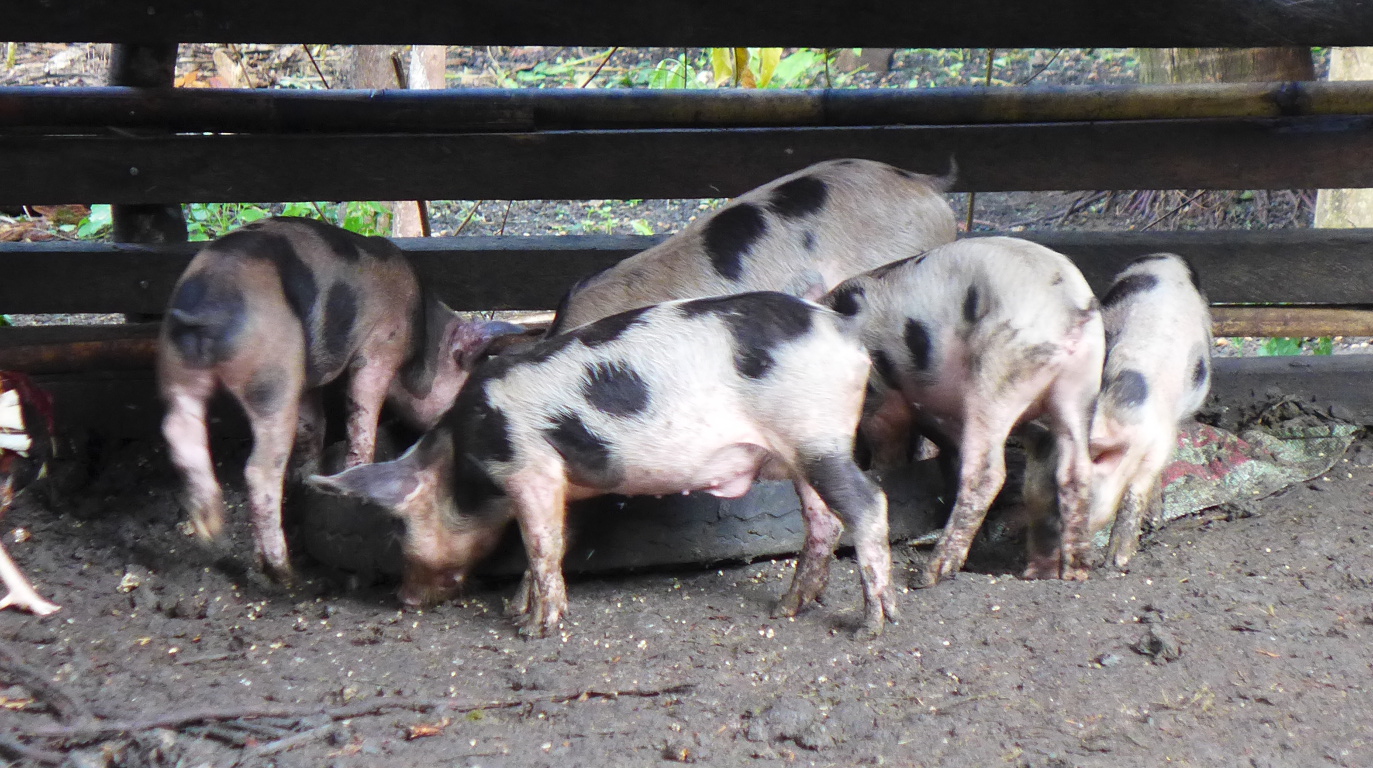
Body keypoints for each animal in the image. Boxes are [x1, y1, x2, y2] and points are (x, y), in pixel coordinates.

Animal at [158, 217, 516, 581]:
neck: (423, 337)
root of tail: (208, 305)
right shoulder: (379, 348)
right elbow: (361, 412)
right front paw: (354, 469)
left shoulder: (310, 381)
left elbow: (314, 425)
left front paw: (307, 478)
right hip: (271, 374)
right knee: (259, 469)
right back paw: (282, 574)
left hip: (176, 361)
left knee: (181, 431)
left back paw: (212, 536)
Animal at [309, 292, 900, 638]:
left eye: (400, 527)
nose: (404, 600)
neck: (464, 451)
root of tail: (845, 334)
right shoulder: (558, 483)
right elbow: (552, 543)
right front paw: (517, 610)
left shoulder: (529, 468)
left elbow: (539, 544)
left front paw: (533, 631)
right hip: (802, 451)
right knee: (822, 522)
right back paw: (786, 609)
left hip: (815, 435)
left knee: (869, 504)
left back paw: (872, 626)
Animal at [824, 237, 1105, 585]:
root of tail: (1067, 302)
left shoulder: (881, 398)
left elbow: (888, 451)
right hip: (1080, 387)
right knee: (1073, 470)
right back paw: (1063, 572)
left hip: (998, 376)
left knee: (987, 473)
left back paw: (929, 574)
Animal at [1022, 253, 1212, 574]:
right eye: (1027, 503)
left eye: (1064, 514)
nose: (1030, 574)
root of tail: (1168, 255)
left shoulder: (1159, 440)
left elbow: (1136, 491)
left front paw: (1116, 562)